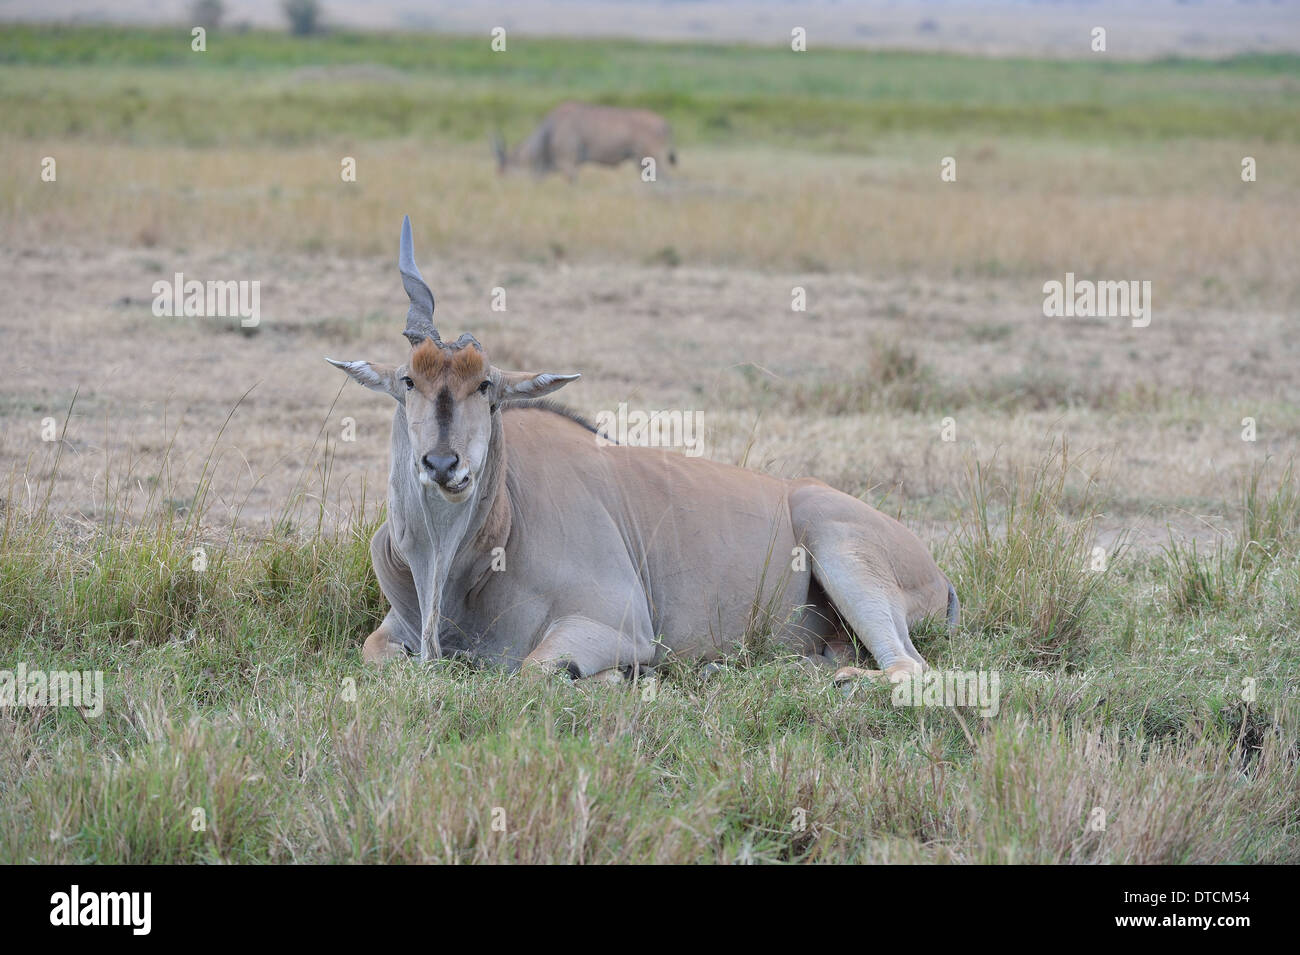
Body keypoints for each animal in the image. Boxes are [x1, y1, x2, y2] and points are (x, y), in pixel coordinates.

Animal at [328, 218, 957, 683]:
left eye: (485, 387)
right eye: (409, 381)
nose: (442, 465)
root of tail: (936, 571)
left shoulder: (616, 627)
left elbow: (537, 671)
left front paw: (622, 679)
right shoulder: (396, 634)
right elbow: (373, 653)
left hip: (837, 545)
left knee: (909, 667)